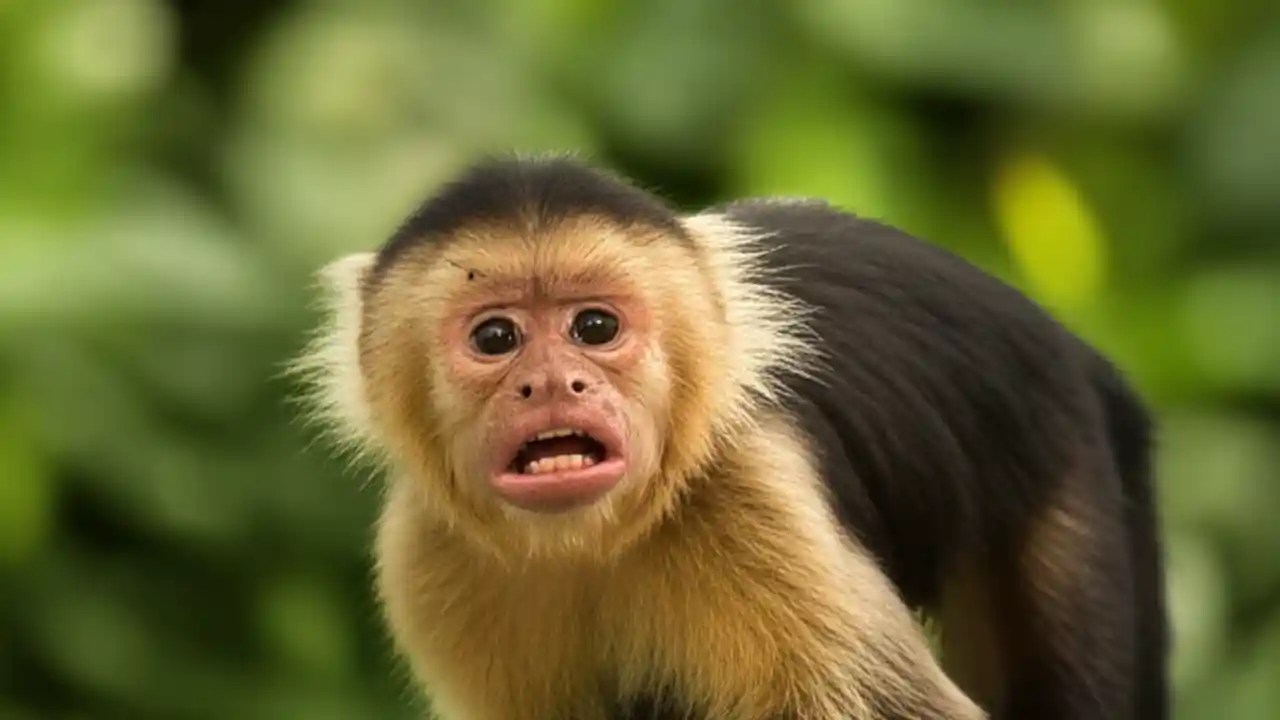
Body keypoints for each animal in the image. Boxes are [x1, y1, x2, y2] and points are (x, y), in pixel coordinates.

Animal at [293, 155, 1168, 720]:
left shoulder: (754, 486)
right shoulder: (427, 557)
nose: (551, 384)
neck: (595, 539)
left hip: (1067, 468)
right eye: (496, 338)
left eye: (595, 327)